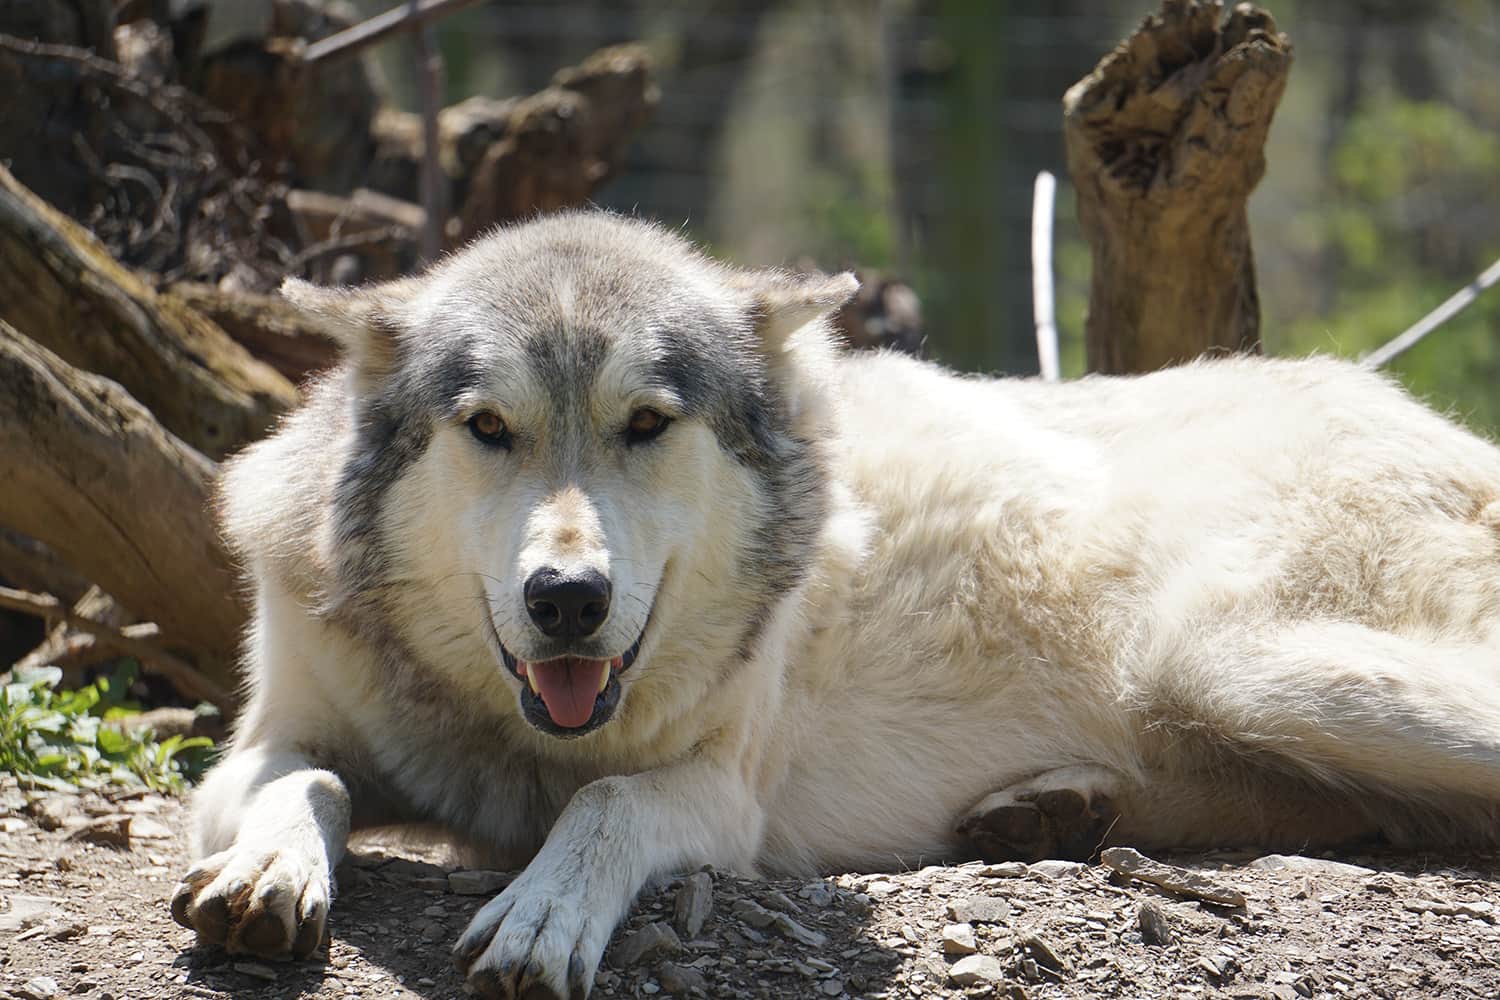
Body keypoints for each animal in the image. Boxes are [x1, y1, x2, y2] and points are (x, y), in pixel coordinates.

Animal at [171, 211, 1500, 999]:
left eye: (646, 424)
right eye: (488, 428)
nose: (567, 600)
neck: (505, 734)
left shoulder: (722, 791)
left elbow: (604, 804)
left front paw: (541, 914)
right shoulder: (259, 742)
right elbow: (311, 781)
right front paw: (265, 876)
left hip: (1235, 665)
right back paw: (1054, 810)